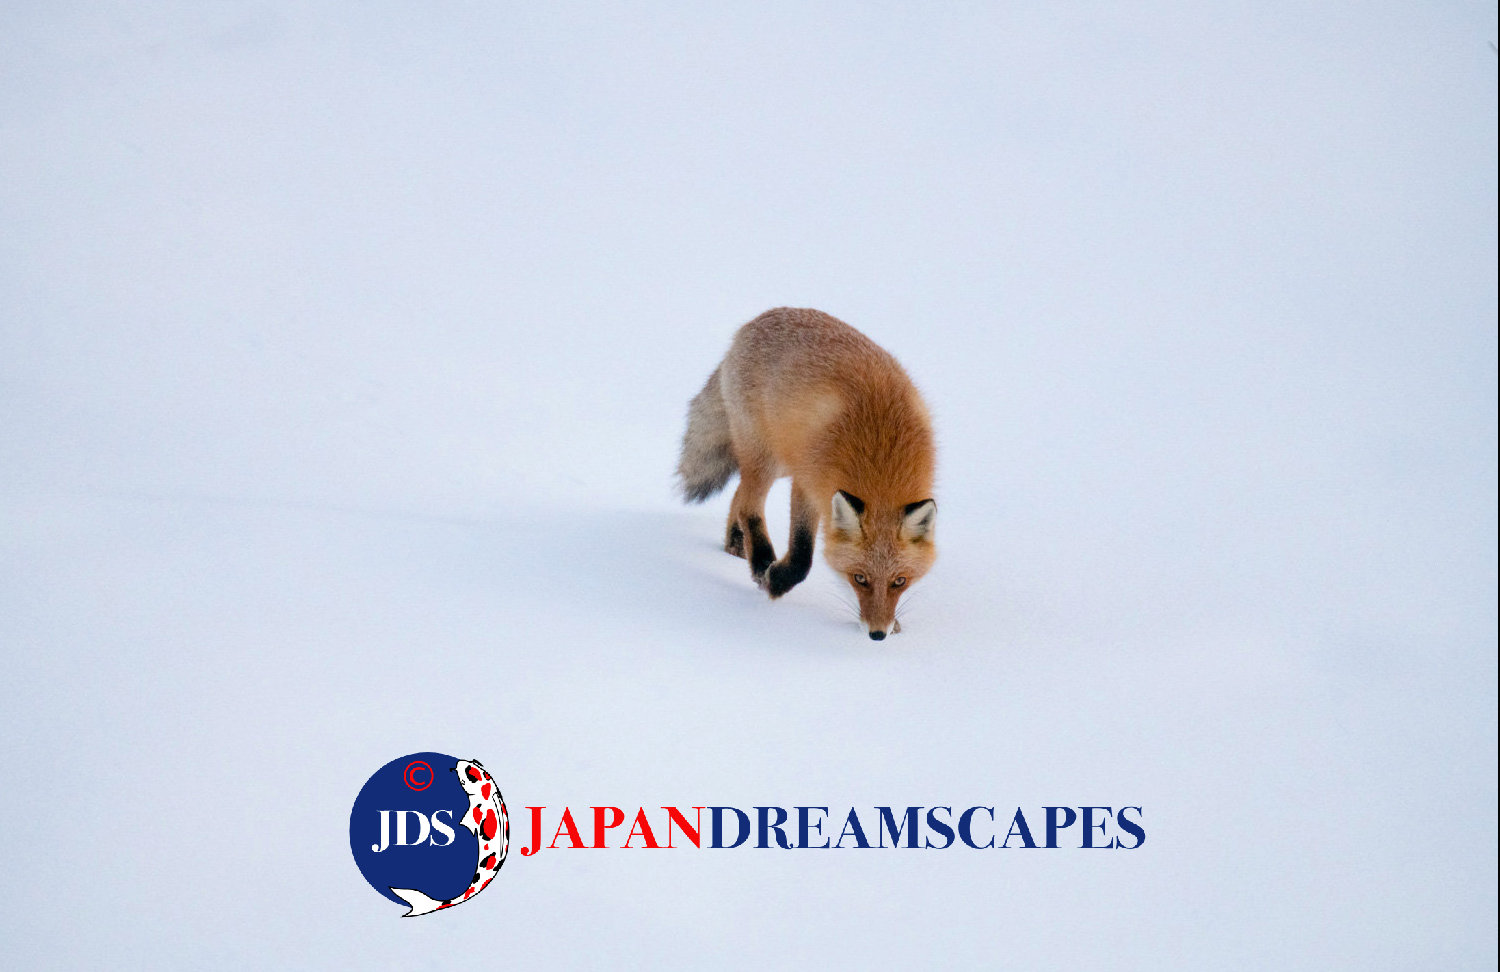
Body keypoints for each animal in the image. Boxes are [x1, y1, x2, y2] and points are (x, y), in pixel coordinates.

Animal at [677, 307, 937, 640]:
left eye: (900, 581)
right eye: (859, 578)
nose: (877, 634)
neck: (882, 457)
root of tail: (754, 322)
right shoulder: (809, 483)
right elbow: (803, 554)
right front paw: (776, 581)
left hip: (779, 460)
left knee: (739, 492)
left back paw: (736, 543)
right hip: (768, 455)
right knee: (749, 505)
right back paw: (760, 562)